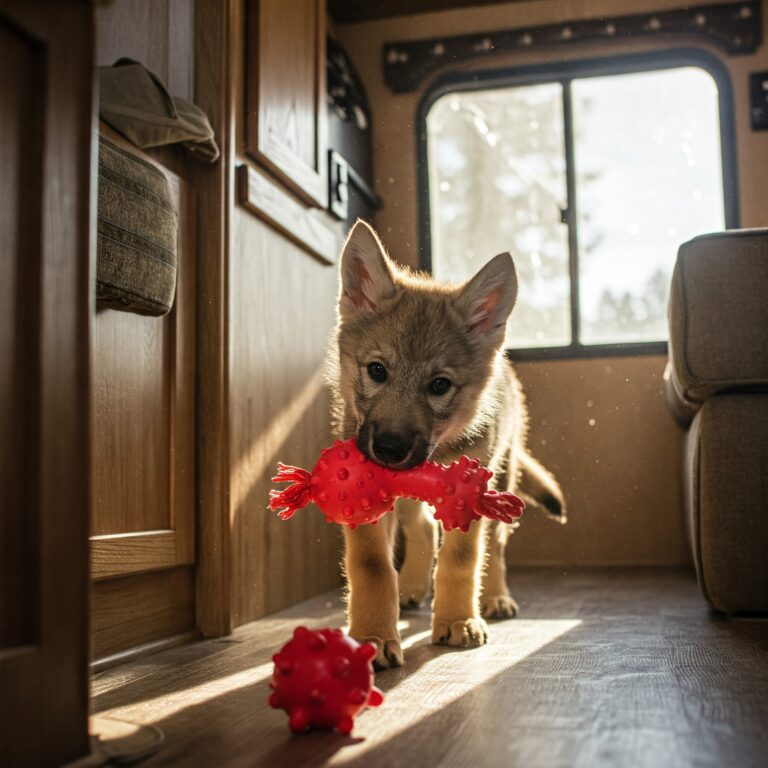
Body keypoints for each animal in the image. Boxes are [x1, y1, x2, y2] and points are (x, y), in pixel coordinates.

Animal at [328, 220, 565, 668]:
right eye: (377, 370)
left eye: (439, 385)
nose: (389, 450)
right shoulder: (369, 491)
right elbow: (373, 567)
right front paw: (373, 636)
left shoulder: (468, 497)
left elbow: (461, 560)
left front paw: (457, 621)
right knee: (421, 527)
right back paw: (411, 589)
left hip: (501, 482)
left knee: (495, 547)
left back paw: (495, 599)